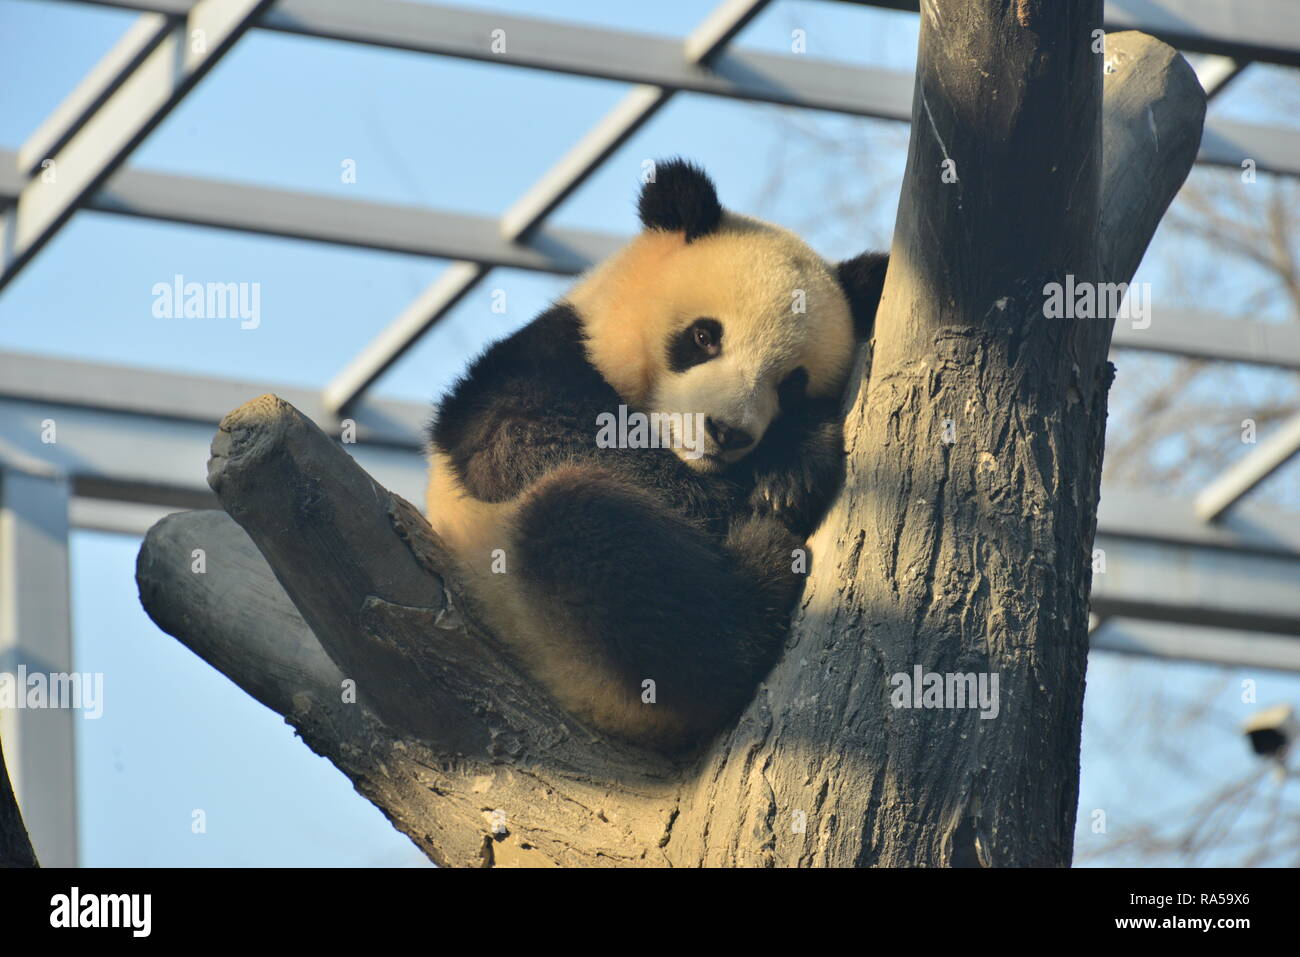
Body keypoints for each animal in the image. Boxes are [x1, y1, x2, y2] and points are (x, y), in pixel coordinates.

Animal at [425, 159, 888, 752]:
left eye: (793, 383)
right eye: (704, 337)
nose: (725, 432)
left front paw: (788, 476)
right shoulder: (540, 359)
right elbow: (518, 436)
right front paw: (752, 497)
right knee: (584, 526)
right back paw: (761, 567)